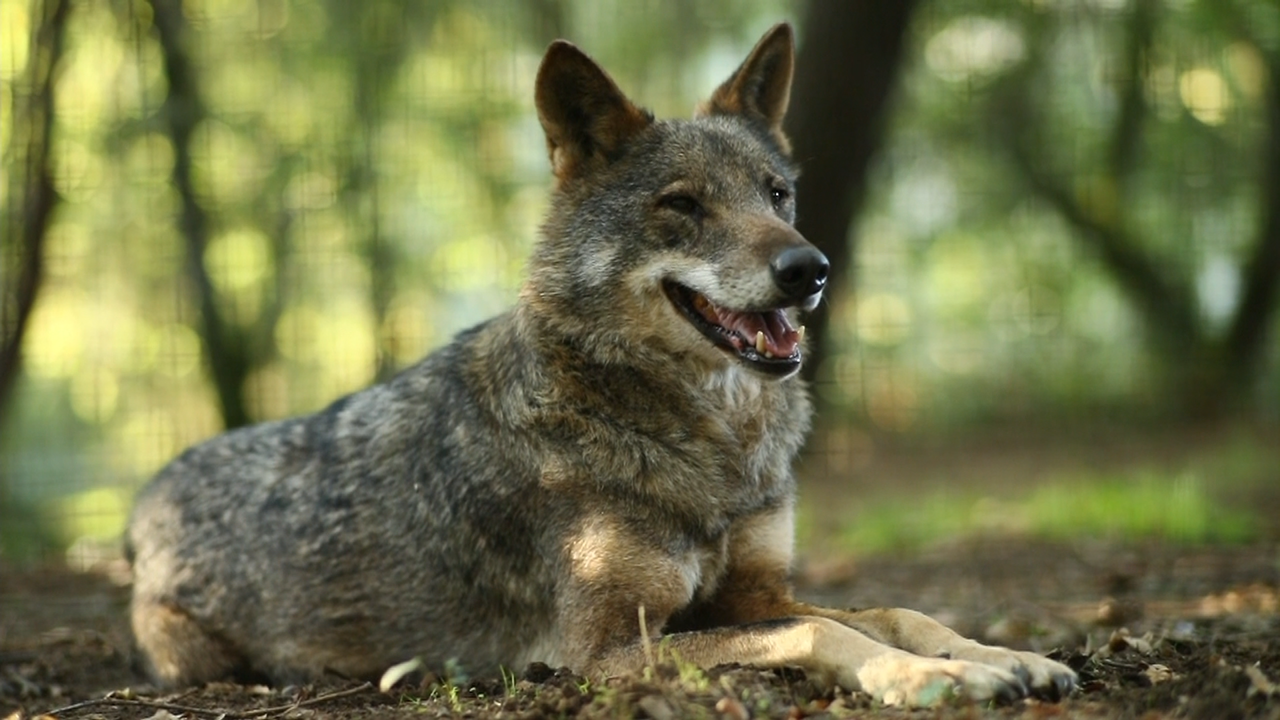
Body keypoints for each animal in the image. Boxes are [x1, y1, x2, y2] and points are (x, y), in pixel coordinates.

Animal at [127, 24, 1077, 707]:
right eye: (683, 206)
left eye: (777, 195)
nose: (811, 268)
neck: (711, 440)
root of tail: (146, 496)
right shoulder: (604, 647)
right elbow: (830, 634)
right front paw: (933, 680)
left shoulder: (754, 595)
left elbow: (893, 610)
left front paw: (1001, 655)